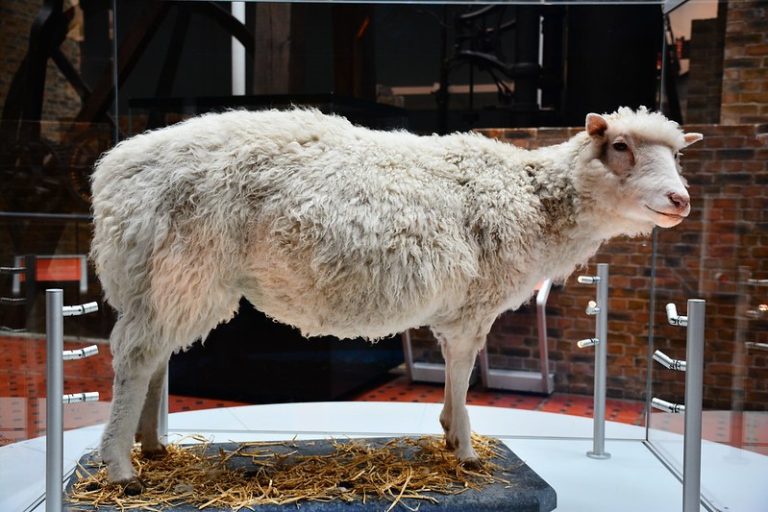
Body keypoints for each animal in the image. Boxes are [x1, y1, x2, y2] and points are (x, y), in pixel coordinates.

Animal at [90, 106, 702, 492]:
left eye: (678, 157)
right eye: (620, 146)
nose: (681, 200)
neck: (531, 199)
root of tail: (112, 171)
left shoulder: (464, 307)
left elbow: (457, 371)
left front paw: (451, 430)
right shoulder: (472, 305)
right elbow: (462, 369)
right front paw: (465, 447)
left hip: (159, 279)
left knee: (154, 357)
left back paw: (153, 447)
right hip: (184, 266)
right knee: (137, 357)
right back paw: (120, 465)